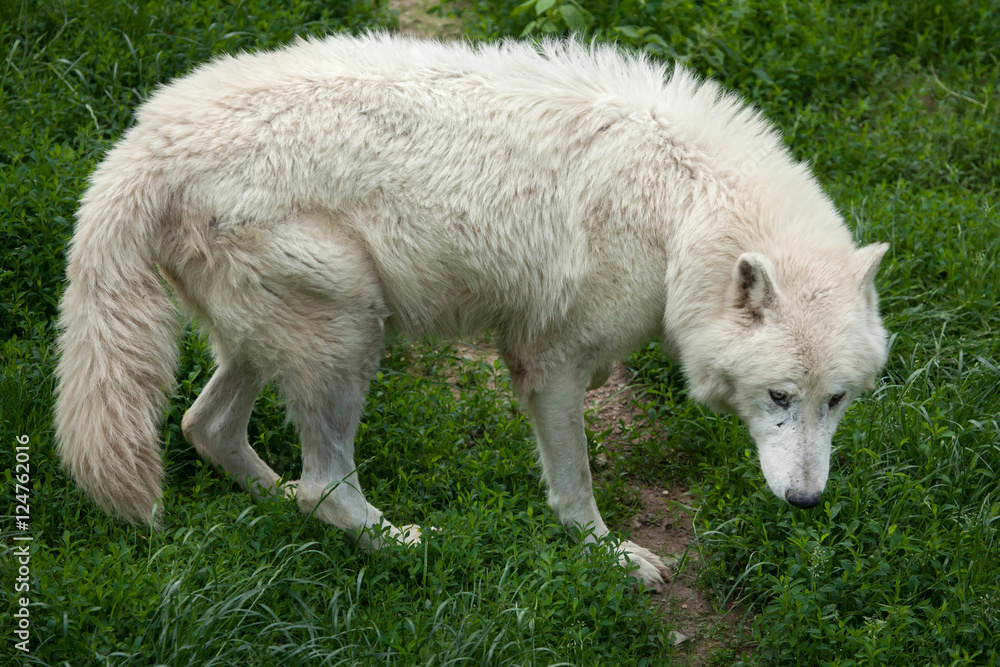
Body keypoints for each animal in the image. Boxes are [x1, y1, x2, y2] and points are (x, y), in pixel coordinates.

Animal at [54, 33, 888, 588]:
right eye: (778, 396)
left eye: (837, 400)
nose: (807, 500)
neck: (682, 209)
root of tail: (143, 147)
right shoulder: (547, 359)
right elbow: (574, 484)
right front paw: (609, 556)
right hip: (352, 334)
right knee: (325, 484)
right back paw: (403, 541)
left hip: (279, 340)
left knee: (210, 428)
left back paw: (279, 501)